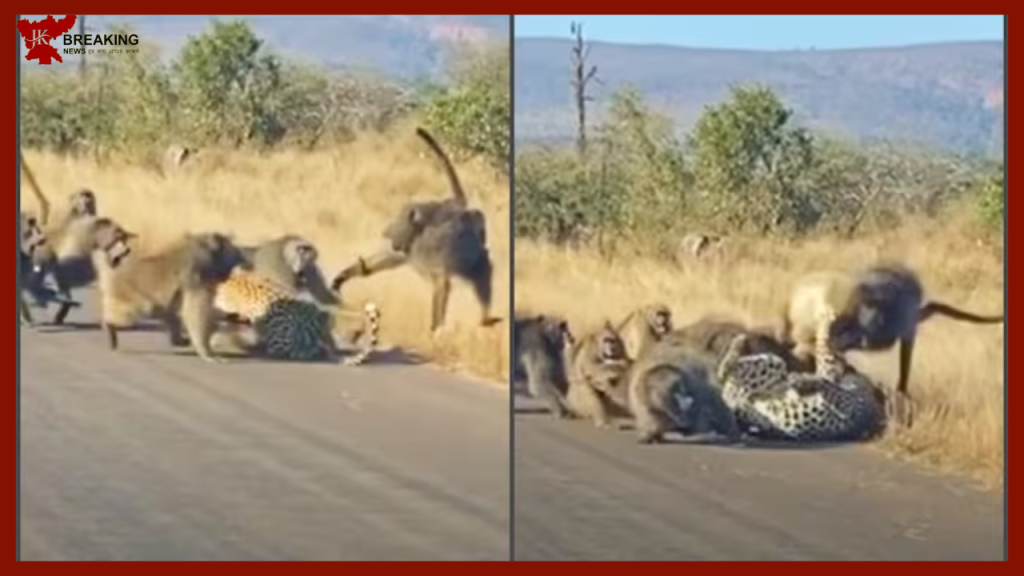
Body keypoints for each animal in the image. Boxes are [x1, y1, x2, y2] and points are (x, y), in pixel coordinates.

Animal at [92, 232, 249, 363]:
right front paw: (208, 353)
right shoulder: (197, 276)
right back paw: (108, 325)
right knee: (134, 313)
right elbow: (195, 313)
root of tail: (113, 272)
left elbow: (179, 311)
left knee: (164, 311)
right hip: (130, 293)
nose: (243, 257)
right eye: (235, 251)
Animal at [330, 127, 498, 336]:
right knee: (482, 268)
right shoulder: (408, 248)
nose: (386, 231)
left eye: (398, 221)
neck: (419, 229)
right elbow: (391, 258)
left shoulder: (426, 249)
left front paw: (436, 330)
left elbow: (441, 282)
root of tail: (458, 206)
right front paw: (345, 275)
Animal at [716, 305, 887, 443]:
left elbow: (824, 370)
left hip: (775, 365)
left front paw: (801, 380)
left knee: (729, 375)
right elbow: (823, 361)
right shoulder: (833, 378)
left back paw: (735, 350)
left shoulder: (845, 398)